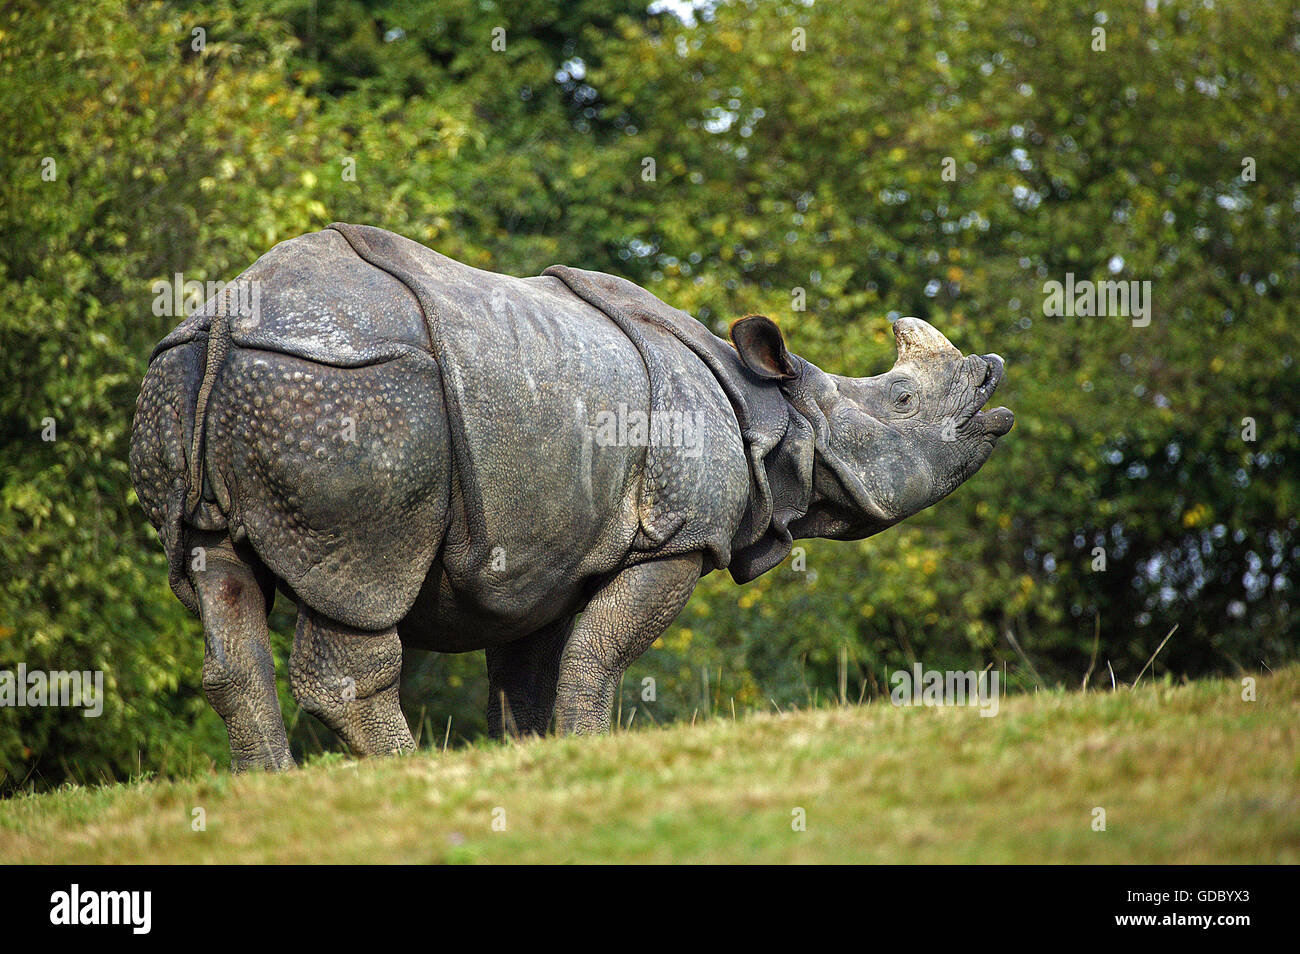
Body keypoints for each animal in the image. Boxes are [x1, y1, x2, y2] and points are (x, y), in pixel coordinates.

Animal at [129, 223, 1013, 770]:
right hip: (349, 391)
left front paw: (532, 762)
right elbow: (600, 651)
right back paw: (403, 772)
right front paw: (587, 753)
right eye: (901, 401)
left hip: (186, 381)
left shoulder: (541, 555)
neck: (775, 409)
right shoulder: (676, 537)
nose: (993, 376)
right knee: (363, 588)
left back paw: (269, 785)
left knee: (216, 576)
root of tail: (223, 320)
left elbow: (526, 680)